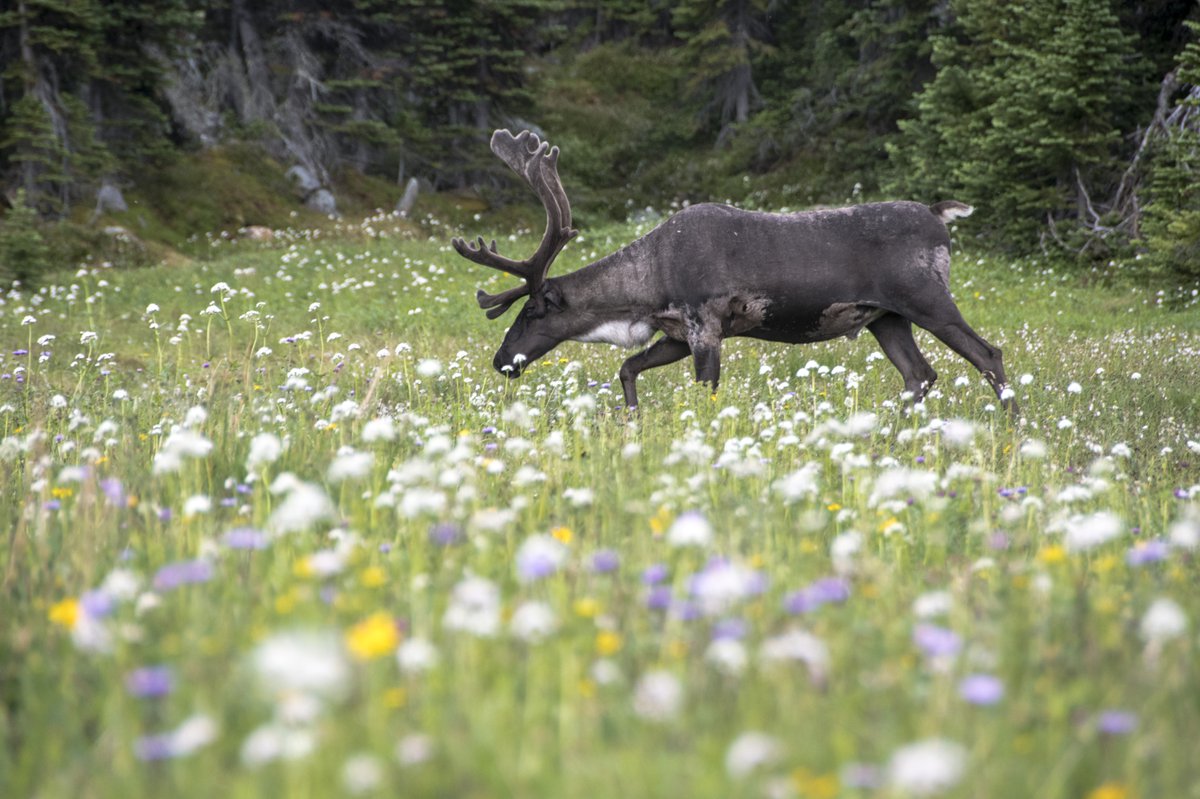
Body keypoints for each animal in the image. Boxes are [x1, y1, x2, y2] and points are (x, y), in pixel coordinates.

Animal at [452, 129, 1015, 412]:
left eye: (531, 314)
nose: (500, 361)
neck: (646, 290)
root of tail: (941, 215)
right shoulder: (676, 332)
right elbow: (627, 367)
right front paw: (632, 420)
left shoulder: (706, 324)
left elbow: (704, 393)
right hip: (884, 317)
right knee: (920, 375)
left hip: (927, 298)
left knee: (988, 354)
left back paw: (1012, 428)